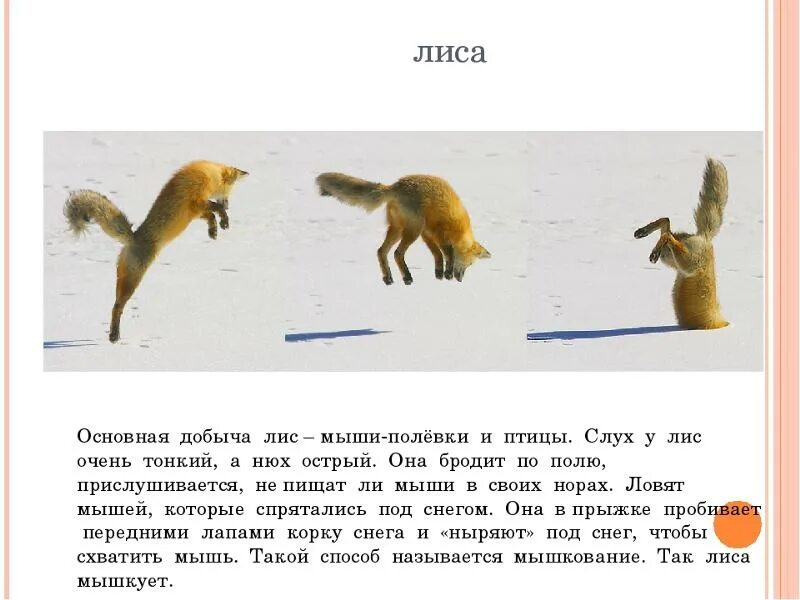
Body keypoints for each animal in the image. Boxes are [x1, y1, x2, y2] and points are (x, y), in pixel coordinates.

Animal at [63, 160, 249, 342]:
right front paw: (223, 221)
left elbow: (210, 215)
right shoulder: (196, 202)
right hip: (133, 280)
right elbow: (214, 208)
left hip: (123, 279)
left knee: (115, 305)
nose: (228, 205)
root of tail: (133, 237)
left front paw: (214, 230)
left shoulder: (196, 212)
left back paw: (114, 334)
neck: (207, 175)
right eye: (229, 191)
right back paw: (114, 336)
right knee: (117, 307)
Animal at [315, 172, 490, 284]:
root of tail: (394, 186)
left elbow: (437, 254)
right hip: (413, 229)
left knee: (381, 251)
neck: (458, 229)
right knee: (397, 253)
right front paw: (447, 273)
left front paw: (439, 273)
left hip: (399, 229)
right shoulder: (438, 233)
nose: (460, 280)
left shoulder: (427, 234)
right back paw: (407, 277)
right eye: (470, 264)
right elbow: (447, 253)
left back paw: (389, 278)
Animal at [634, 157, 729, 330]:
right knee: (667, 230)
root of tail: (705, 237)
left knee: (666, 225)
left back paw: (645, 236)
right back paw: (648, 241)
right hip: (686, 261)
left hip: (672, 260)